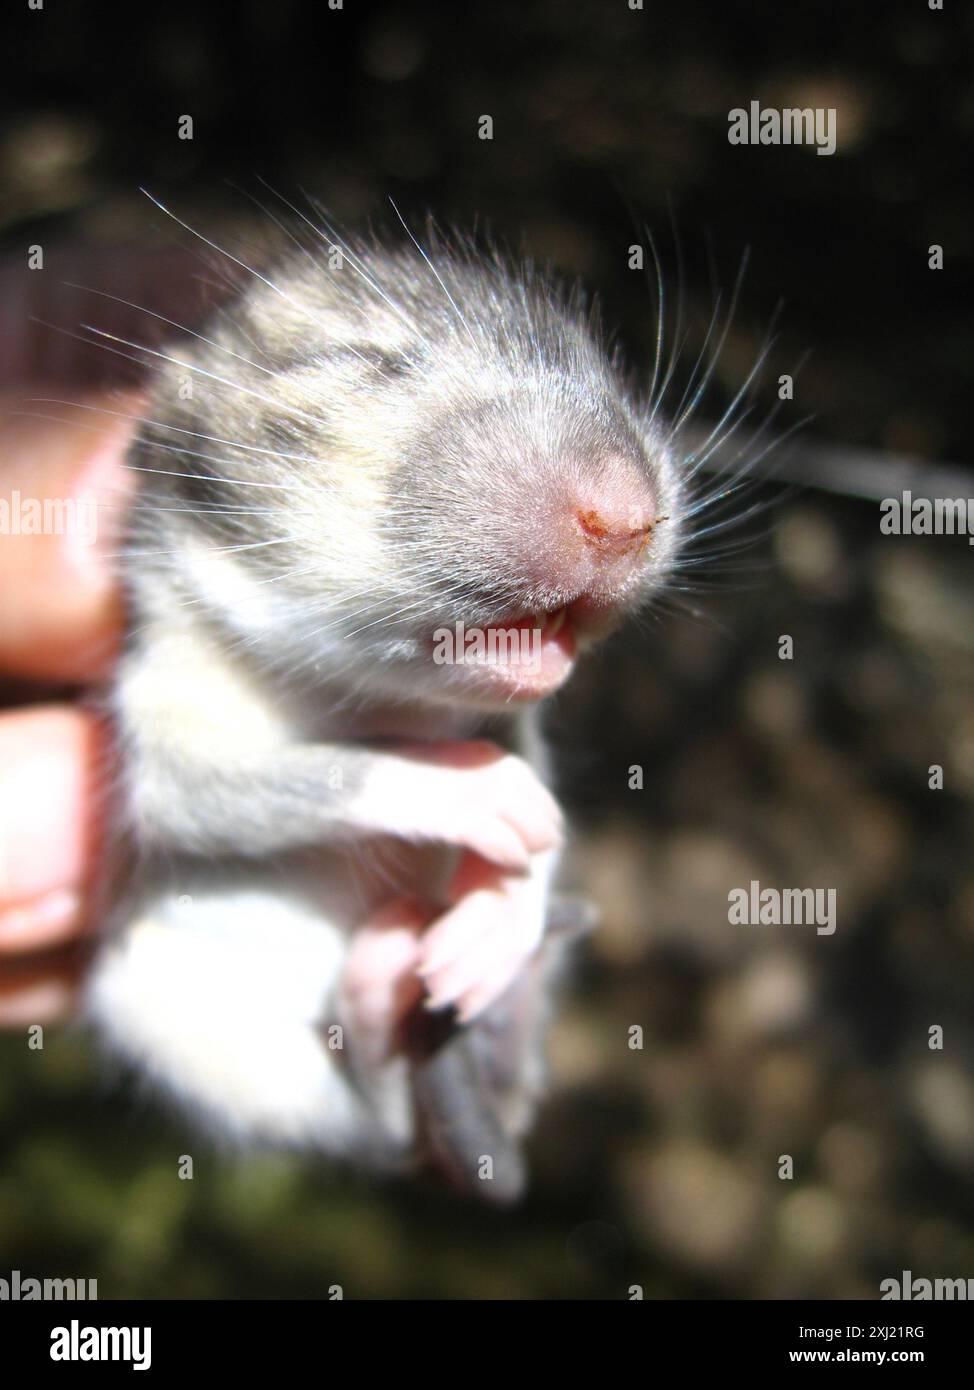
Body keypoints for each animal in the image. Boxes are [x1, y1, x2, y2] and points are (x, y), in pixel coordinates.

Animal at [84, 211, 683, 1201]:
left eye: (610, 374)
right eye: (360, 361)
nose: (626, 513)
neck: (368, 700)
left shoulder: (519, 715)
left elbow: (537, 787)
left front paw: (505, 907)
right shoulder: (166, 684)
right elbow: (202, 792)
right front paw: (474, 791)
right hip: (174, 1018)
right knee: (377, 1122)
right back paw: (377, 997)